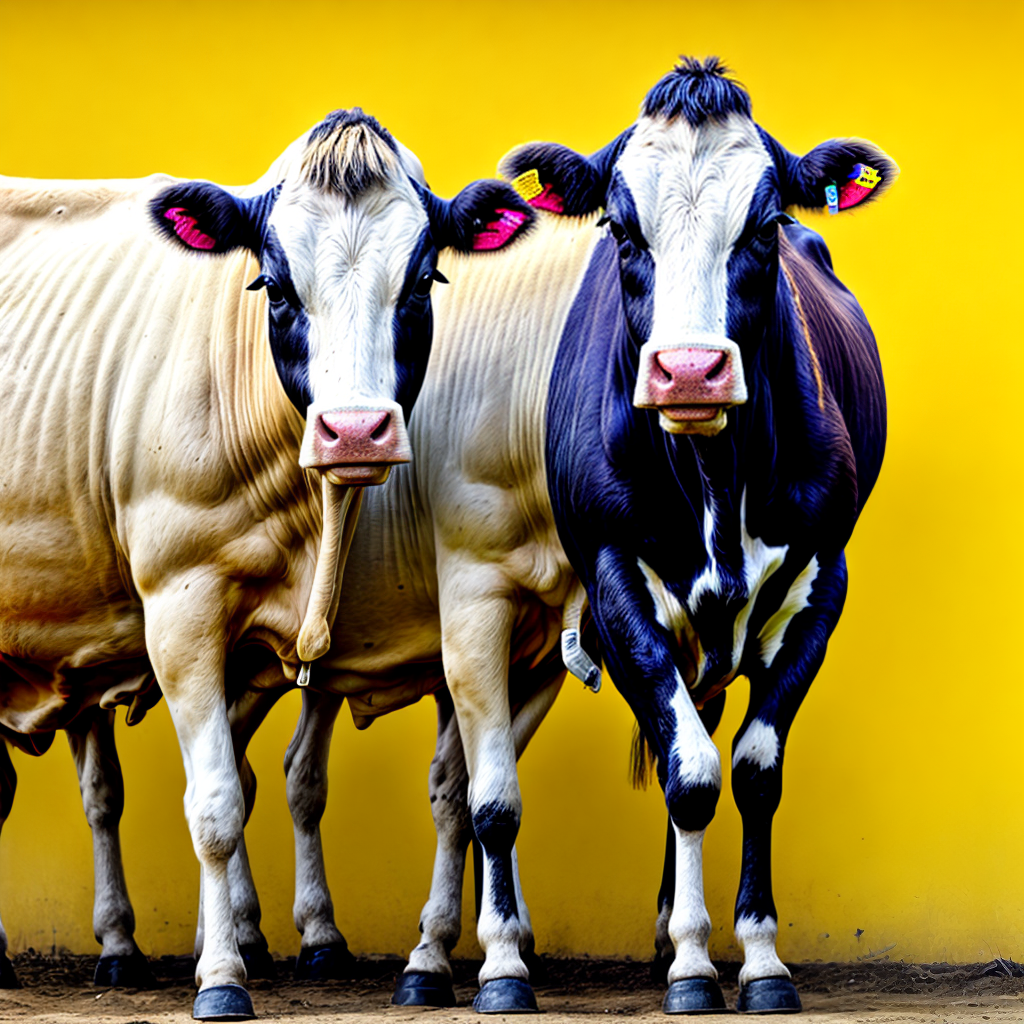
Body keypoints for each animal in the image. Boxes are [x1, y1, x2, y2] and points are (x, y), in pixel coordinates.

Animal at [0, 108, 532, 1019]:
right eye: (276, 289)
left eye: (422, 283)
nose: (354, 432)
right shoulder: (178, 610)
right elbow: (215, 805)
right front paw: (220, 975)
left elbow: (263, 782)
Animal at [219, 58, 895, 1016]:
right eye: (620, 226)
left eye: (765, 225)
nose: (690, 370)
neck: (712, 472)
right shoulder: (604, 582)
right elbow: (663, 775)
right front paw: (684, 966)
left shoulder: (817, 582)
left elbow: (750, 769)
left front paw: (756, 958)